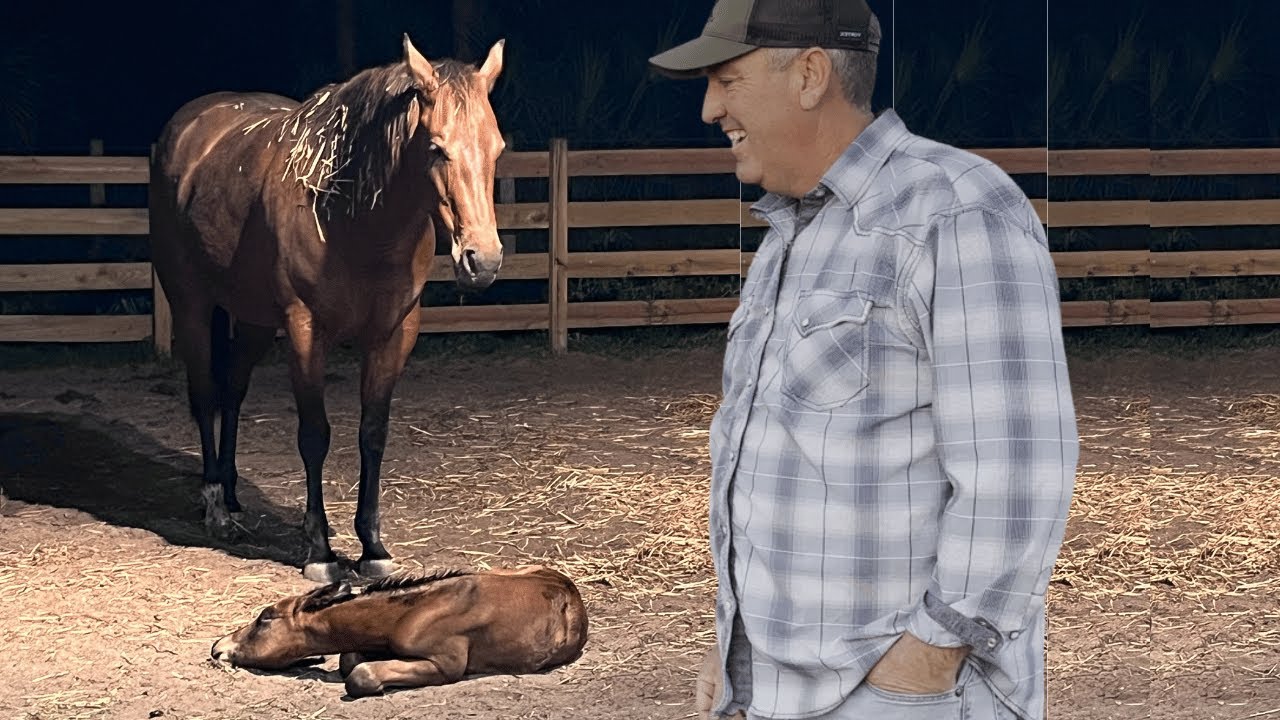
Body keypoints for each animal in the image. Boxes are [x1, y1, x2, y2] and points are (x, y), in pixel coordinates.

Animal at [148, 35, 507, 584]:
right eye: (436, 148)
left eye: (497, 148)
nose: (482, 260)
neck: (353, 217)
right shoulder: (304, 329)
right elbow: (315, 435)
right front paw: (319, 549)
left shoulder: (394, 333)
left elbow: (373, 434)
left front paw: (373, 546)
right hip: (191, 303)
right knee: (206, 394)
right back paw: (215, 505)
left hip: (253, 320)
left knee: (232, 392)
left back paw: (231, 494)